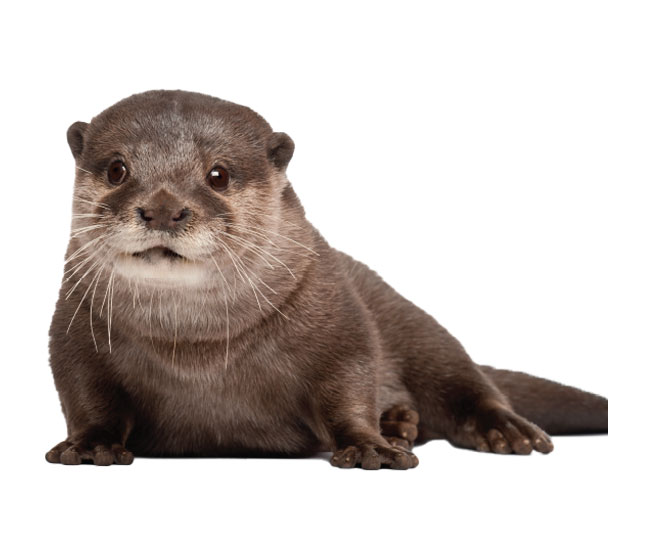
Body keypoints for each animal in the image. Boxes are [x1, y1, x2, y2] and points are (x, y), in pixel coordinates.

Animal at [46, 90, 607, 468]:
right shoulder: (75, 331)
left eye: (218, 175)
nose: (163, 208)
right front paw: (90, 444)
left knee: (463, 378)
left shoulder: (337, 311)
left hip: (414, 324)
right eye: (117, 169)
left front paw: (370, 446)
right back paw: (402, 423)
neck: (196, 349)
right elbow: (85, 395)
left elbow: (350, 383)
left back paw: (498, 430)